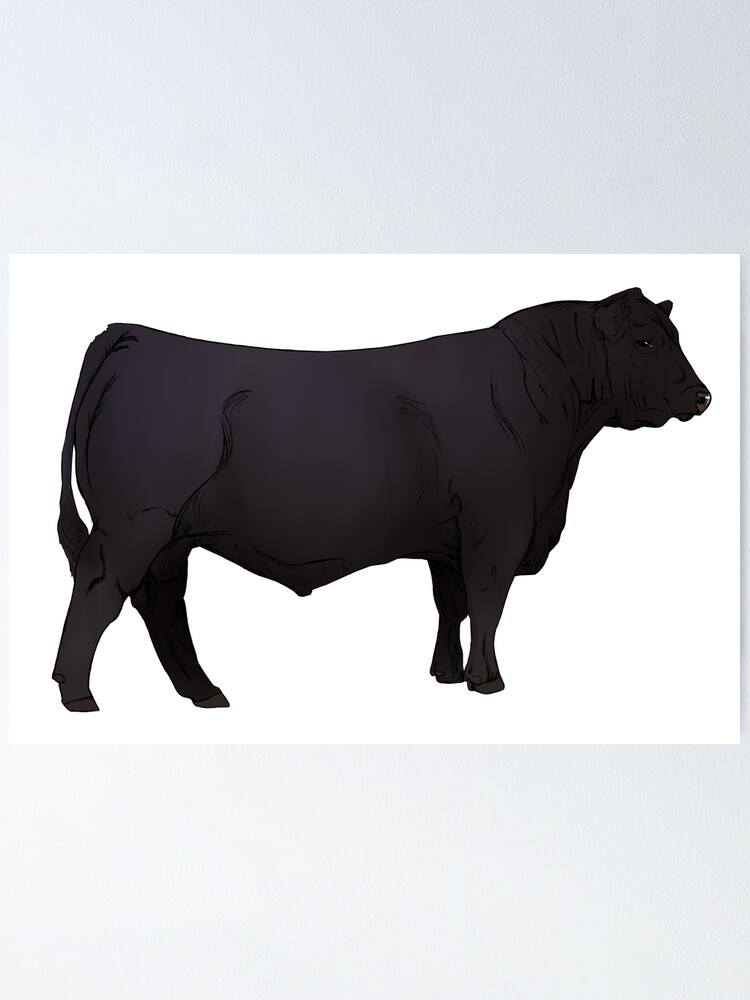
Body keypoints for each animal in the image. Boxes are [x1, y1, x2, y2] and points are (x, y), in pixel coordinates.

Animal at [53, 287, 711, 711]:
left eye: (672, 335)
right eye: (646, 341)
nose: (702, 395)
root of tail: (131, 334)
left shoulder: (449, 538)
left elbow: (451, 603)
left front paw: (445, 675)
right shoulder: (498, 528)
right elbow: (487, 601)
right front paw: (487, 682)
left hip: (170, 538)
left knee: (161, 604)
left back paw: (205, 693)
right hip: (134, 525)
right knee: (99, 592)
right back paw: (78, 694)